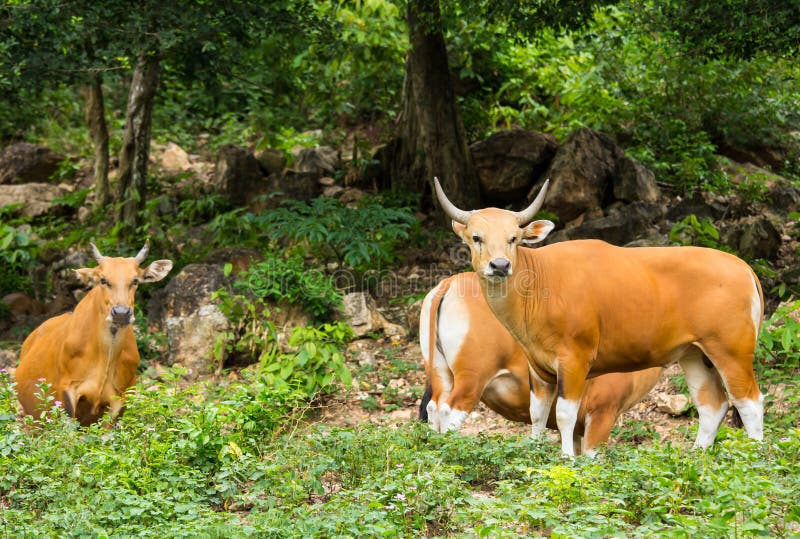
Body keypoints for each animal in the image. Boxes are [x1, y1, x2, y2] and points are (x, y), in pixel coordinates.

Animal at [15, 240, 173, 426]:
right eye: (103, 280)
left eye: (135, 280)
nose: (121, 313)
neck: (104, 359)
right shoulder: (67, 388)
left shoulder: (118, 397)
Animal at [419, 272, 663, 455]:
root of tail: (450, 283)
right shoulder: (602, 412)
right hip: (472, 379)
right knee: (449, 410)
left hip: (440, 373)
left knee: (433, 406)